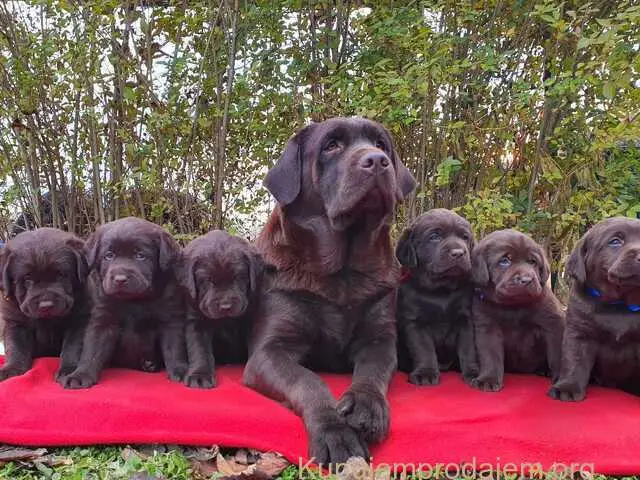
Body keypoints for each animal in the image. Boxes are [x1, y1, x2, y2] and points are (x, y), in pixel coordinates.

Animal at [0, 229, 89, 382]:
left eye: (61, 274)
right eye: (27, 279)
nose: (46, 305)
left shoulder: (80, 320)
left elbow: (73, 346)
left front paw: (69, 370)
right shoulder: (15, 322)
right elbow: (16, 346)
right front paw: (11, 368)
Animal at [180, 230, 262, 390]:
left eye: (238, 277)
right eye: (207, 281)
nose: (225, 306)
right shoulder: (197, 321)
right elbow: (199, 349)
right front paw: (199, 375)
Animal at [468, 231, 564, 392]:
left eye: (532, 262)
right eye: (504, 261)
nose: (526, 279)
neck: (513, 306)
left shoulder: (553, 323)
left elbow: (558, 354)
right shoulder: (487, 327)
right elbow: (490, 355)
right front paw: (488, 379)